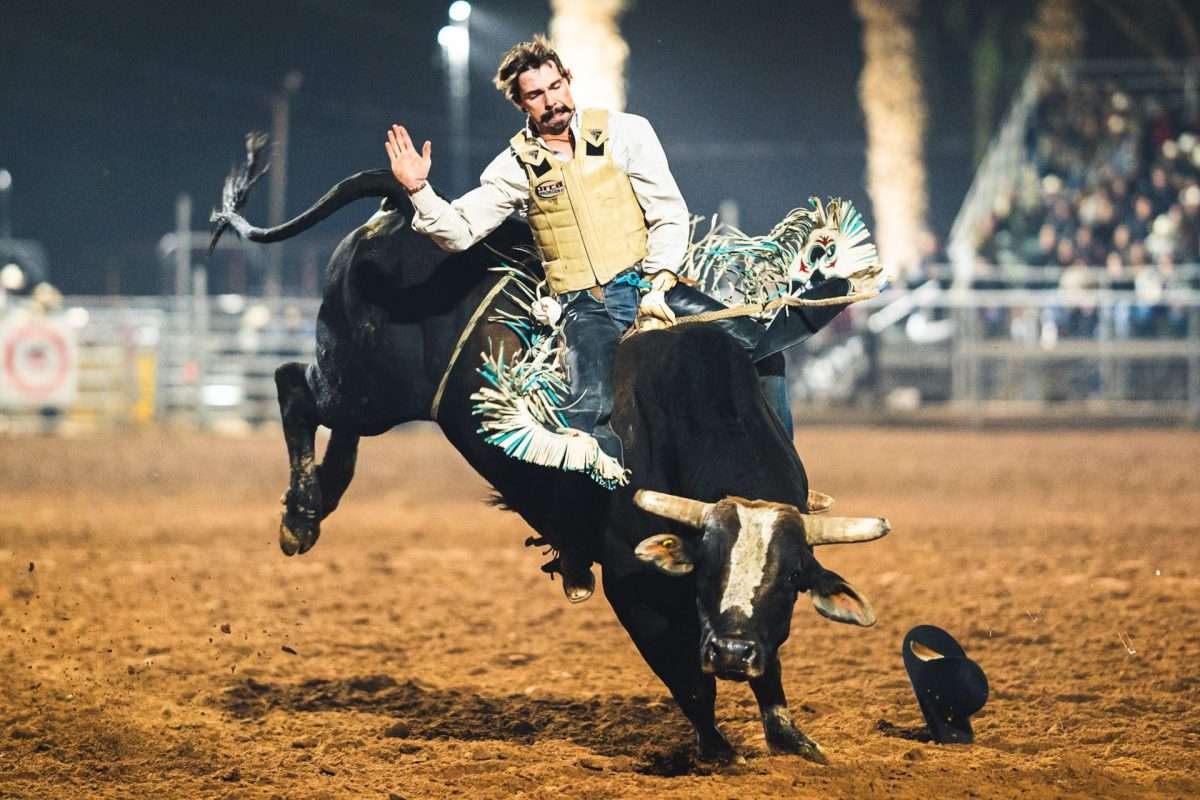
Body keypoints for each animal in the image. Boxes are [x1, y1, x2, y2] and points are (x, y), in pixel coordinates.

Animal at [210, 156, 888, 763]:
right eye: (709, 566)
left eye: (791, 579)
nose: (731, 653)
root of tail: (401, 210)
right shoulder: (632, 583)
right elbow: (685, 680)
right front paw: (717, 749)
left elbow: (770, 668)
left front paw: (789, 734)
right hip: (363, 381)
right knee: (293, 386)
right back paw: (300, 516)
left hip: (369, 392)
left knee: (338, 429)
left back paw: (321, 496)